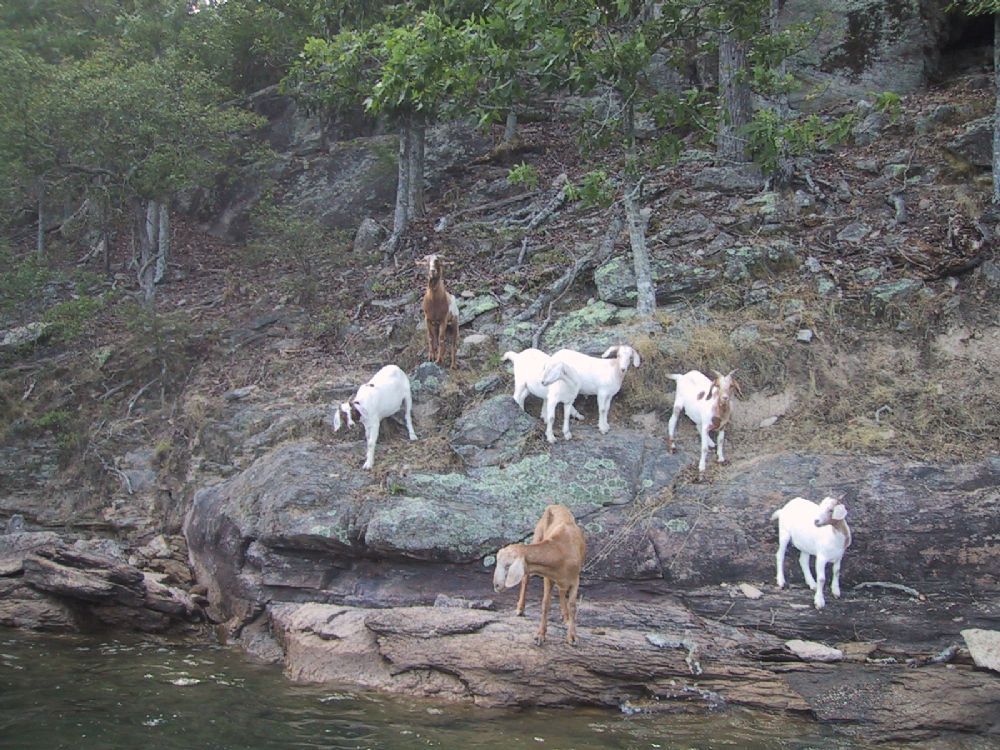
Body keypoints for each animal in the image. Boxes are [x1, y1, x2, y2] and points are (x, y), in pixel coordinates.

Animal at [493, 503, 586, 646]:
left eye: (508, 565)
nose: (496, 585)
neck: (560, 549)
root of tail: (554, 505)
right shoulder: (548, 577)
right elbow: (545, 604)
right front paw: (540, 635)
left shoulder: (575, 579)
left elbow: (572, 606)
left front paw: (572, 636)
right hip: (537, 535)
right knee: (526, 579)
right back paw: (520, 609)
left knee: (561, 590)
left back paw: (565, 617)